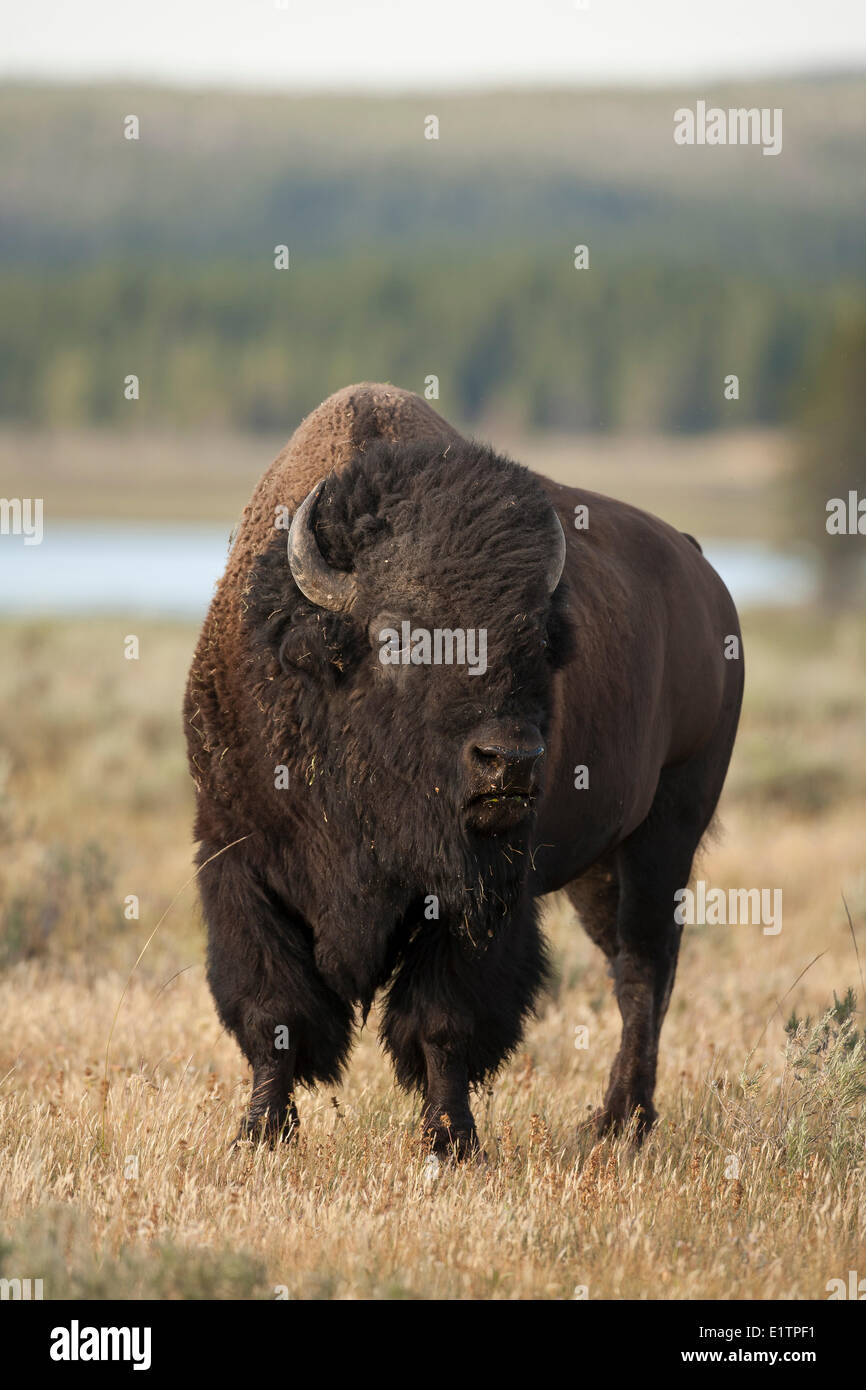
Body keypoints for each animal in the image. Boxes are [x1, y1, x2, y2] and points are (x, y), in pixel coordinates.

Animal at [184, 383, 743, 1154]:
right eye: (398, 638)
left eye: (535, 637)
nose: (508, 760)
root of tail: (706, 580)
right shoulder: (239, 860)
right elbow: (274, 1011)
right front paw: (261, 1133)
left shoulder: (480, 890)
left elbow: (443, 1022)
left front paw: (451, 1142)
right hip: (601, 865)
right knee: (633, 966)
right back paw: (613, 1122)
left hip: (667, 831)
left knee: (644, 969)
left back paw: (620, 1123)